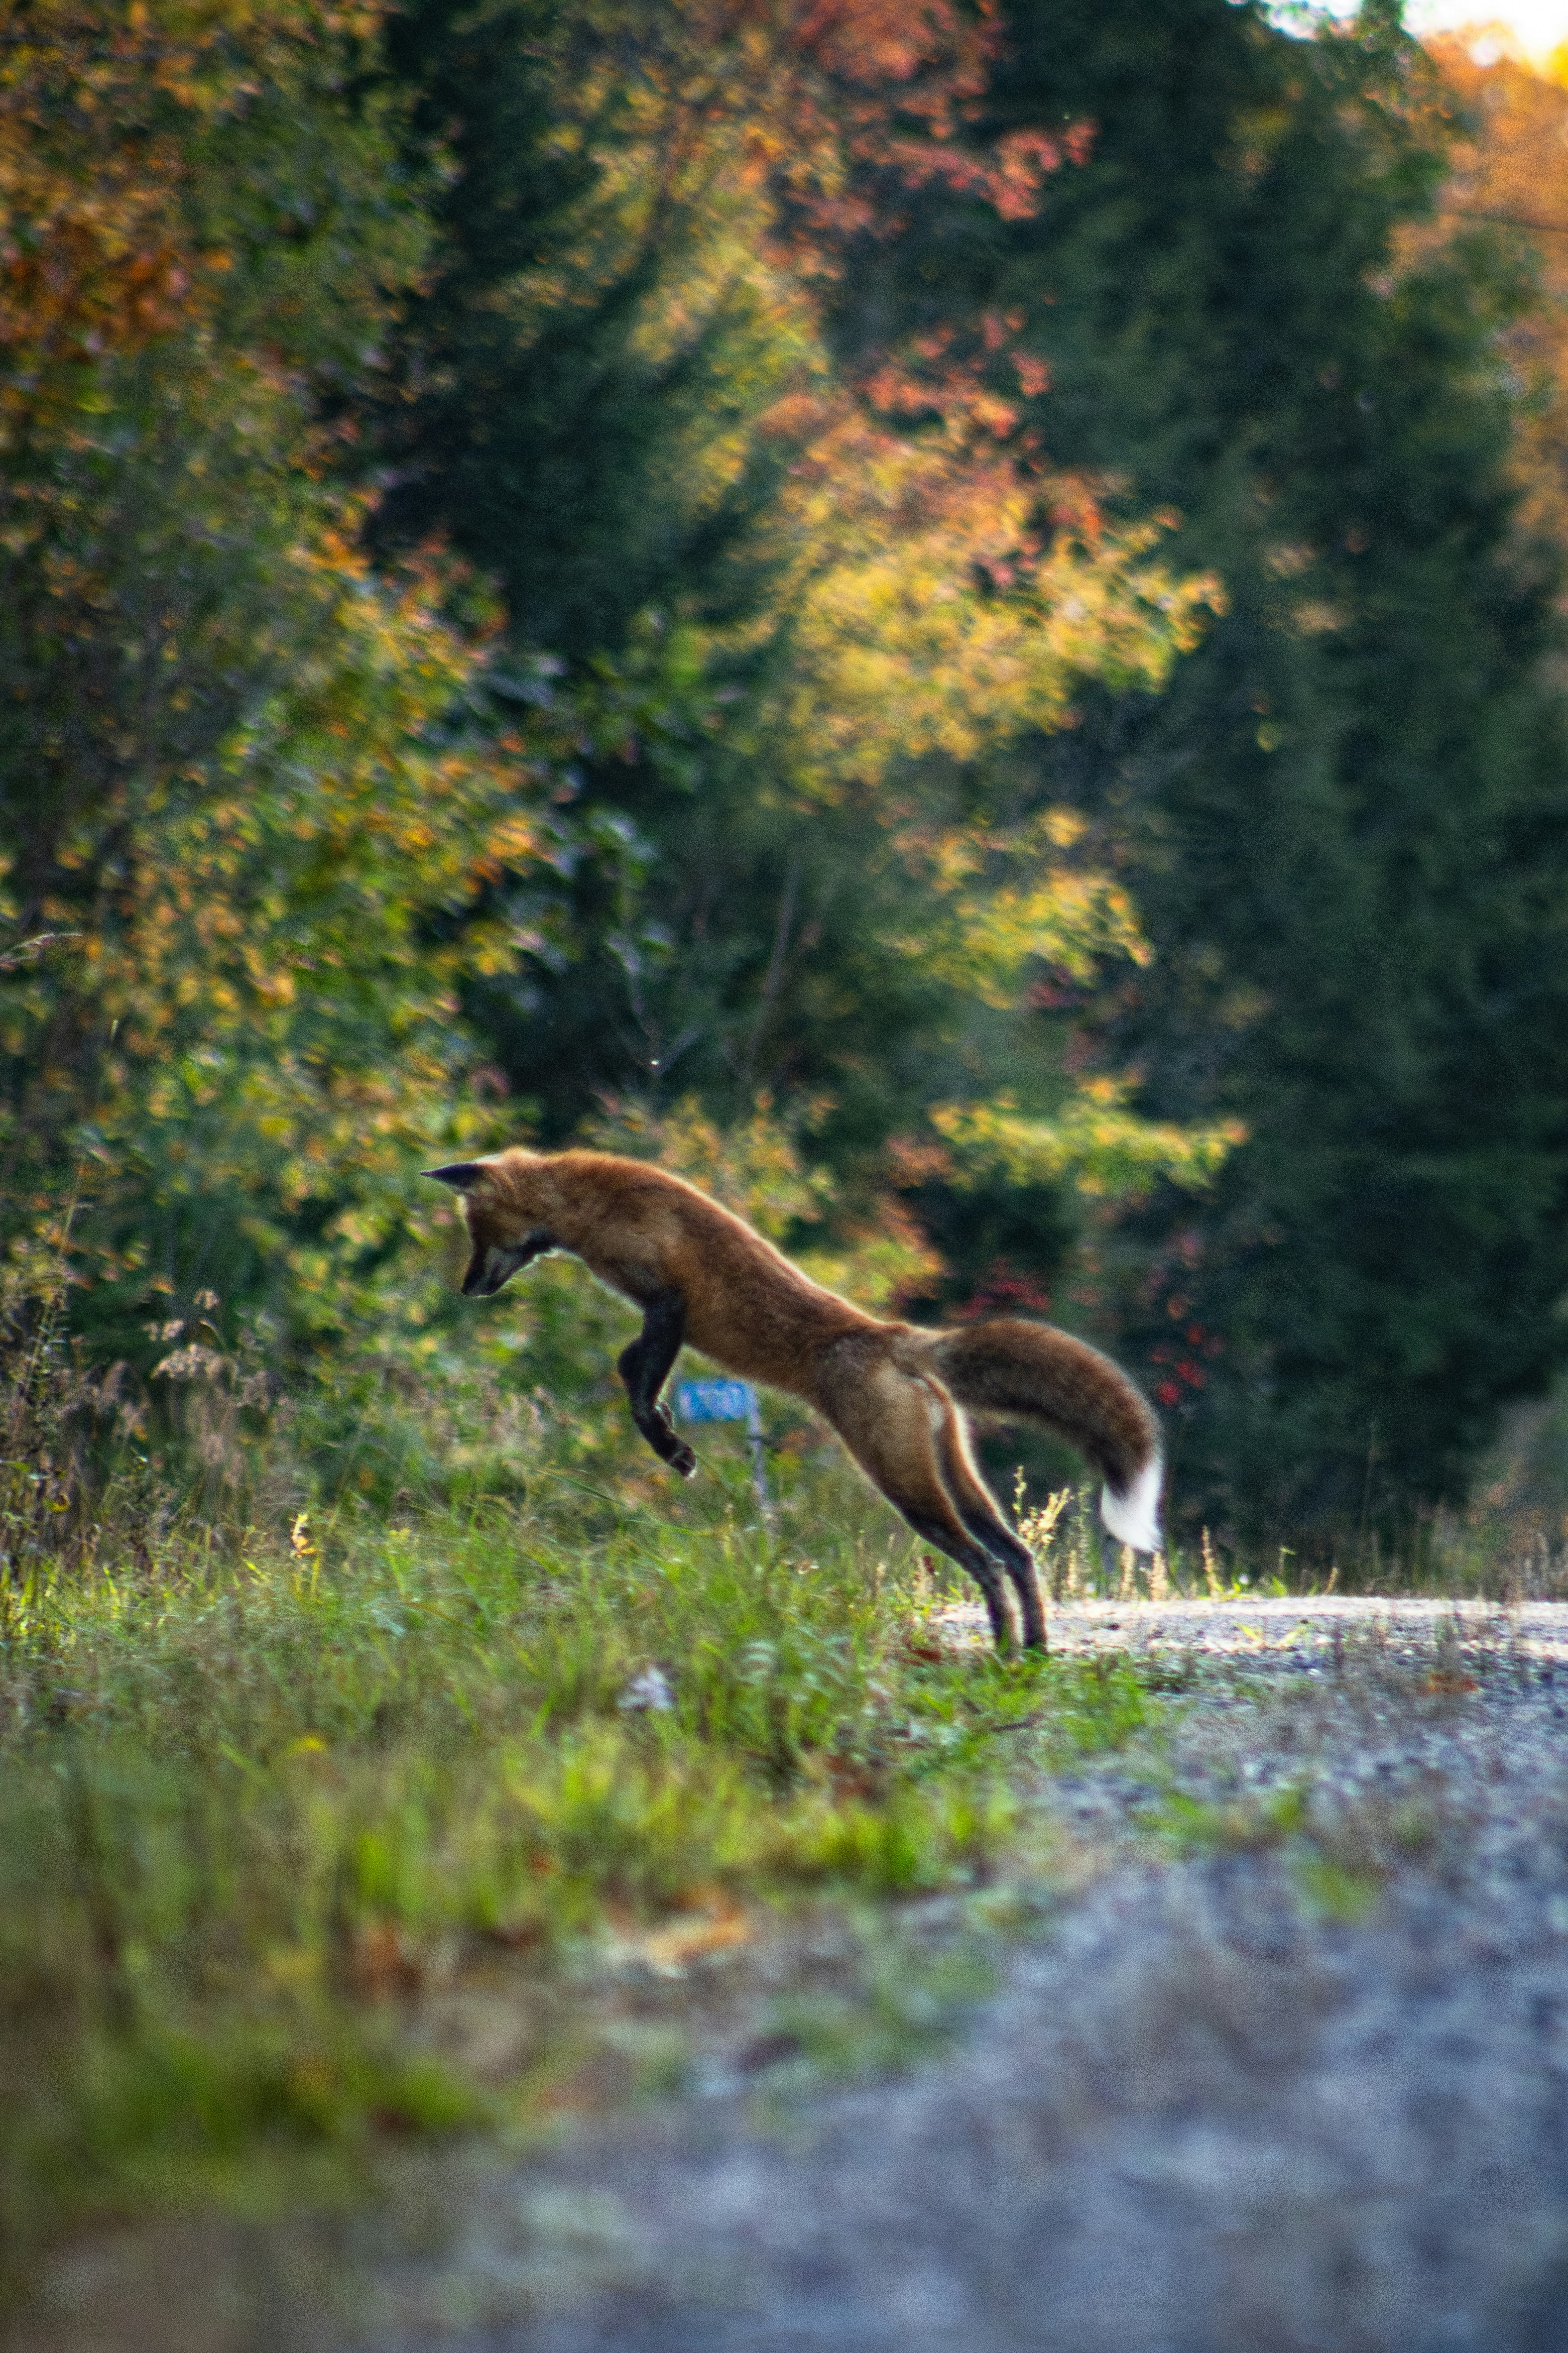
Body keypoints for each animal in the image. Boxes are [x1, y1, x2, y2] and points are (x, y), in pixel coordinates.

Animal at [425, 1148, 1162, 1652]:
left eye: (476, 1235)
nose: (465, 1287)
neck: (587, 1201)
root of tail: (894, 1336)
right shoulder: (659, 1314)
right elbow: (630, 1369)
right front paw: (668, 1436)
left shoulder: (667, 1300)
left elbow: (636, 1381)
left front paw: (669, 1445)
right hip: (953, 1474)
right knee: (1017, 1555)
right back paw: (1033, 1650)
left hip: (906, 1487)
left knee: (984, 1564)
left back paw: (1005, 1651)